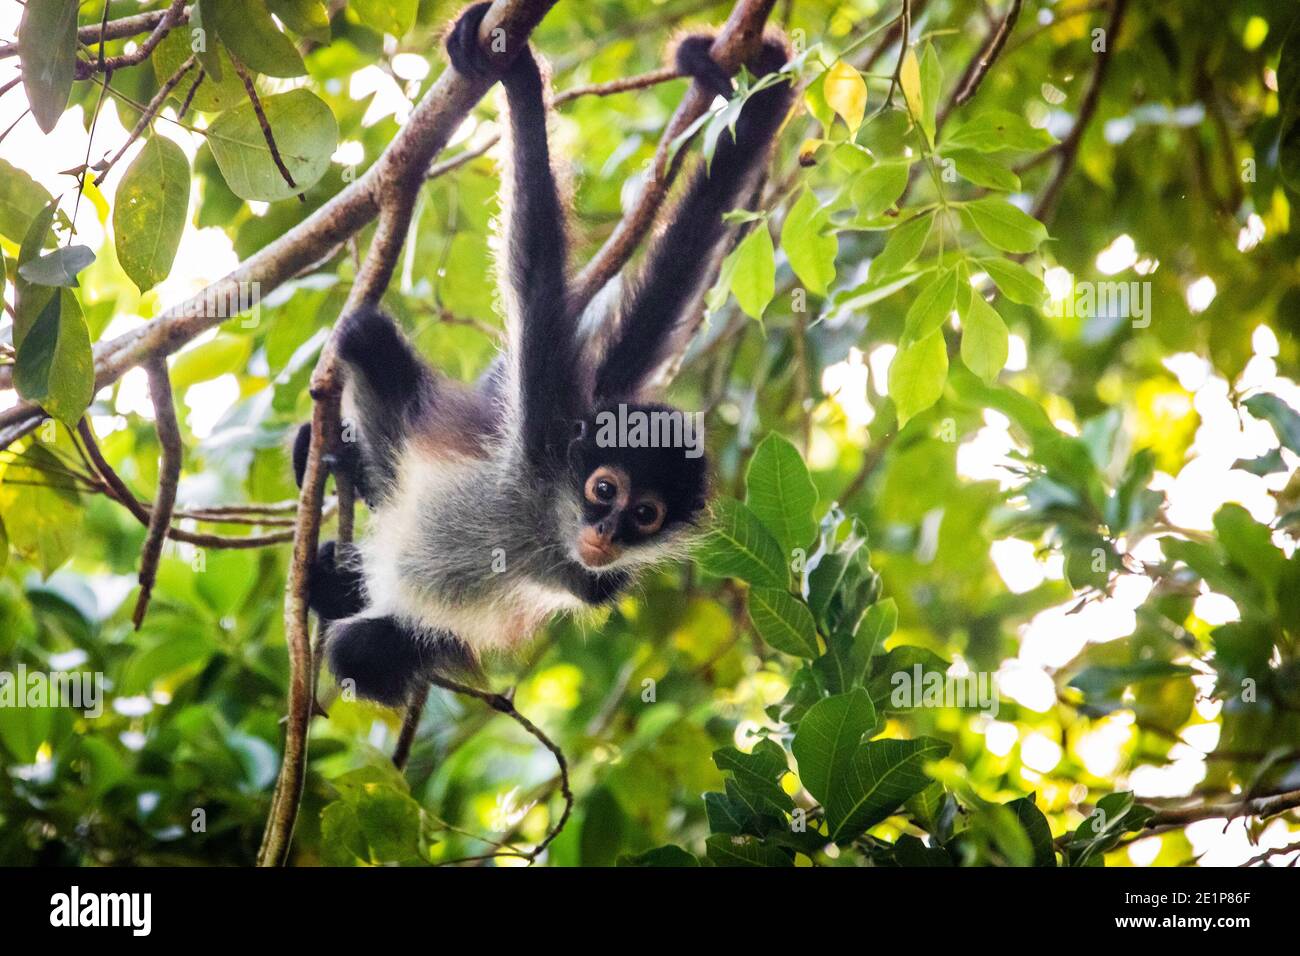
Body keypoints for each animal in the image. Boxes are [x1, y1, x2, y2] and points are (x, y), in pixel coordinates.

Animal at [294, 3, 795, 708]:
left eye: (645, 517)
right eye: (604, 490)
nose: (606, 536)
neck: (546, 520)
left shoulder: (597, 580)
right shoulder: (541, 412)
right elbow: (534, 271)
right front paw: (523, 82)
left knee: (364, 649)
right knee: (364, 334)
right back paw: (343, 467)